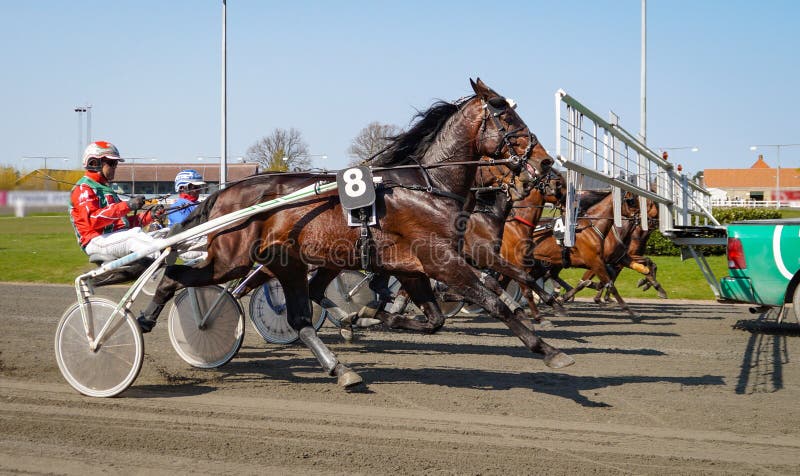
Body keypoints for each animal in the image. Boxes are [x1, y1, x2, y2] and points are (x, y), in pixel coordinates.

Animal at [139, 78, 573, 388]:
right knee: (178, 277)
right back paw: (150, 319)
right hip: (236, 259)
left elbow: (433, 318)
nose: (546, 163)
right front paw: (548, 349)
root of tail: (223, 192)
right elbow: (495, 301)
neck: (427, 187)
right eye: (510, 120)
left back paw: (341, 367)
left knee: (299, 315)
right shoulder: (444, 263)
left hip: (286, 263)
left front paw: (367, 316)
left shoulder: (413, 269)